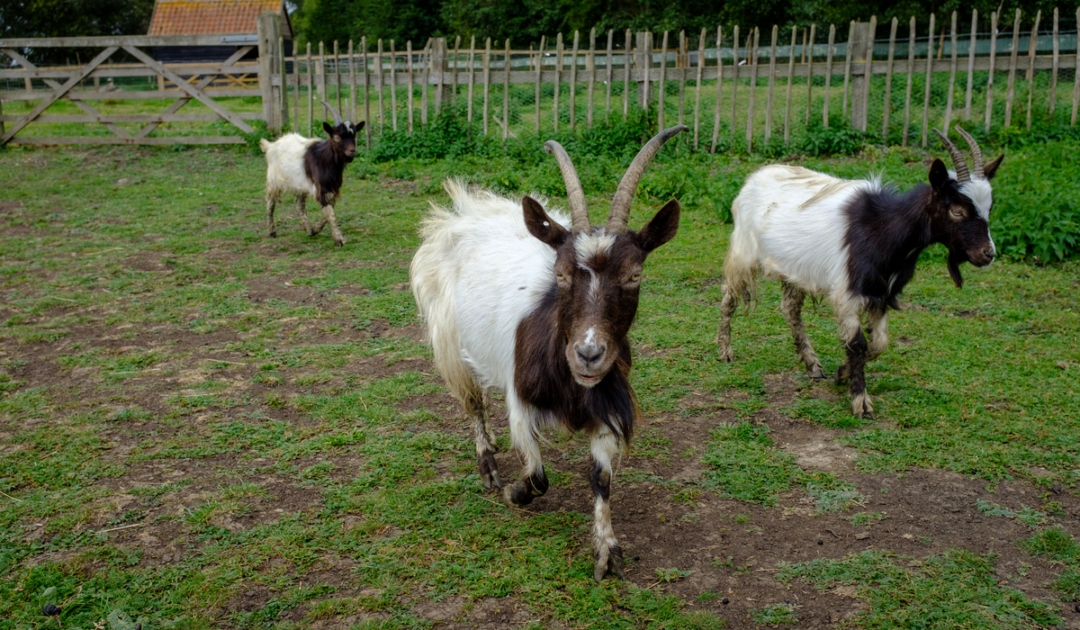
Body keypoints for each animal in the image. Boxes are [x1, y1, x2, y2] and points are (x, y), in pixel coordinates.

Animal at [259, 101, 362, 247]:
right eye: (337, 137)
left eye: (354, 135)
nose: (352, 151)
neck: (325, 160)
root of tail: (270, 146)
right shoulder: (321, 187)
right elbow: (330, 212)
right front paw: (339, 239)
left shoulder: (331, 188)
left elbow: (329, 209)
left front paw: (316, 228)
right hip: (273, 180)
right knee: (270, 203)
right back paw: (272, 232)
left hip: (300, 184)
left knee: (299, 204)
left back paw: (308, 229)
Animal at [410, 126, 687, 582]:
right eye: (559, 273)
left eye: (634, 275)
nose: (589, 354)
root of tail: (465, 211)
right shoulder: (520, 400)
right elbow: (539, 476)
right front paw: (513, 491)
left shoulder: (607, 405)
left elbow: (601, 478)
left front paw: (607, 551)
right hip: (450, 341)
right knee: (473, 403)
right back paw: (488, 467)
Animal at [716, 126, 1004, 418]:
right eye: (957, 210)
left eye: (989, 208)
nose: (987, 254)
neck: (882, 227)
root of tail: (752, 179)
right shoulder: (848, 292)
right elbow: (858, 343)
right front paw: (860, 401)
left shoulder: (882, 291)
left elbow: (879, 343)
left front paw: (841, 373)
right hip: (744, 252)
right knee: (729, 294)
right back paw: (725, 351)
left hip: (795, 268)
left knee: (789, 309)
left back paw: (812, 365)